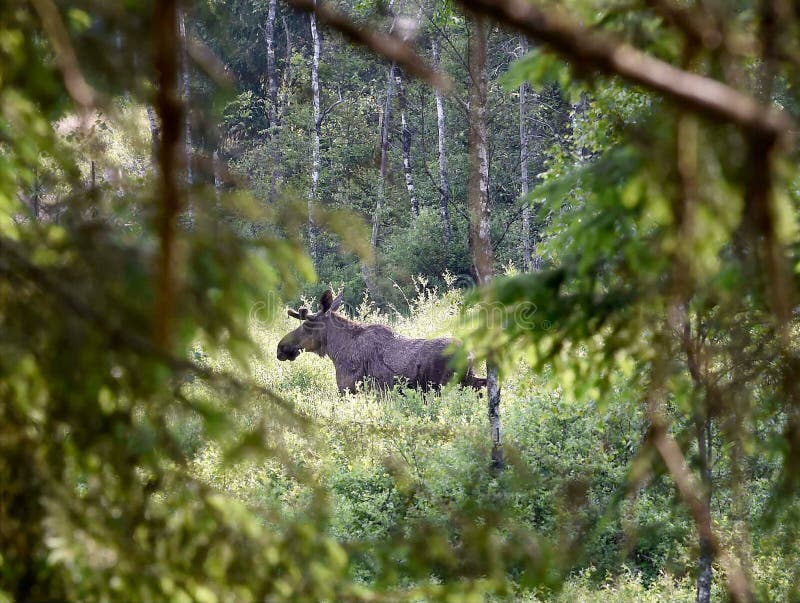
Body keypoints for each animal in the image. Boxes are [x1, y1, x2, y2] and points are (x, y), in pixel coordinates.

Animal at [276, 289, 487, 394]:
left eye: (307, 324)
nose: (281, 347)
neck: (335, 350)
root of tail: (470, 355)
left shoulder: (348, 388)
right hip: (468, 381)